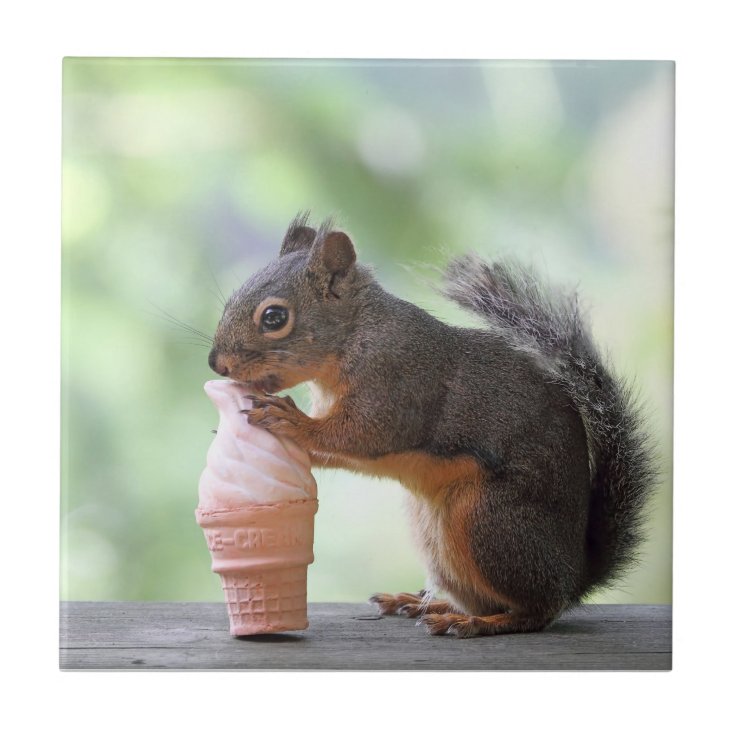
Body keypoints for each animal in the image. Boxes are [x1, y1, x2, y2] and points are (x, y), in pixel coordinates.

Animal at [207, 212, 657, 638]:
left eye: (274, 317)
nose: (217, 364)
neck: (356, 334)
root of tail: (574, 575)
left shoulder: (394, 385)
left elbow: (359, 434)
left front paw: (291, 420)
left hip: (488, 521)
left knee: (537, 610)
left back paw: (476, 623)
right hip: (436, 536)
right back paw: (425, 603)